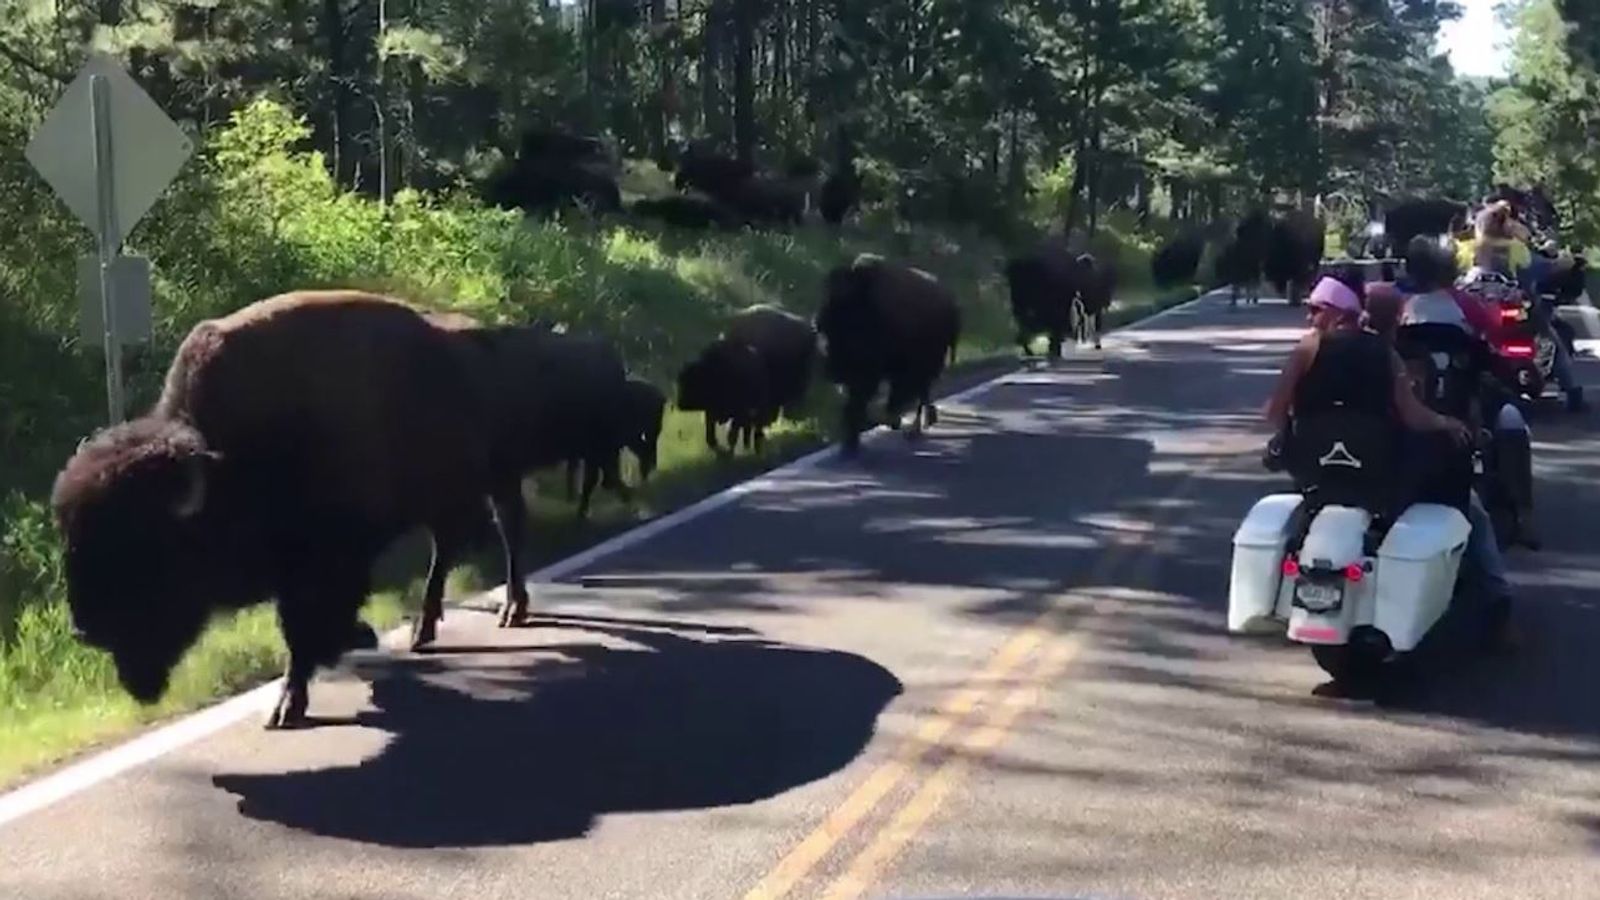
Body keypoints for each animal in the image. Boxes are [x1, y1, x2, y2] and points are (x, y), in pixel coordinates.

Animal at [50, 291, 520, 729]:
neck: (229, 460)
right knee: (447, 549)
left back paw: (506, 611)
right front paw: (352, 640)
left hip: (496, 479)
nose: (85, 628)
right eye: (71, 535)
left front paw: (288, 705)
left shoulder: (323, 564)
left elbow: (302, 630)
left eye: (142, 545)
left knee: (504, 534)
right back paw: (425, 628)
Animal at [817, 254, 961, 454]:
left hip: (928, 363)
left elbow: (885, 400)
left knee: (921, 393)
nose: (831, 372)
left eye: (848, 325)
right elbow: (855, 405)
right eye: (822, 326)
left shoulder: (881, 373)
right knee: (922, 392)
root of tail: (951, 302)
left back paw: (916, 427)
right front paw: (850, 443)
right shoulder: (863, 376)